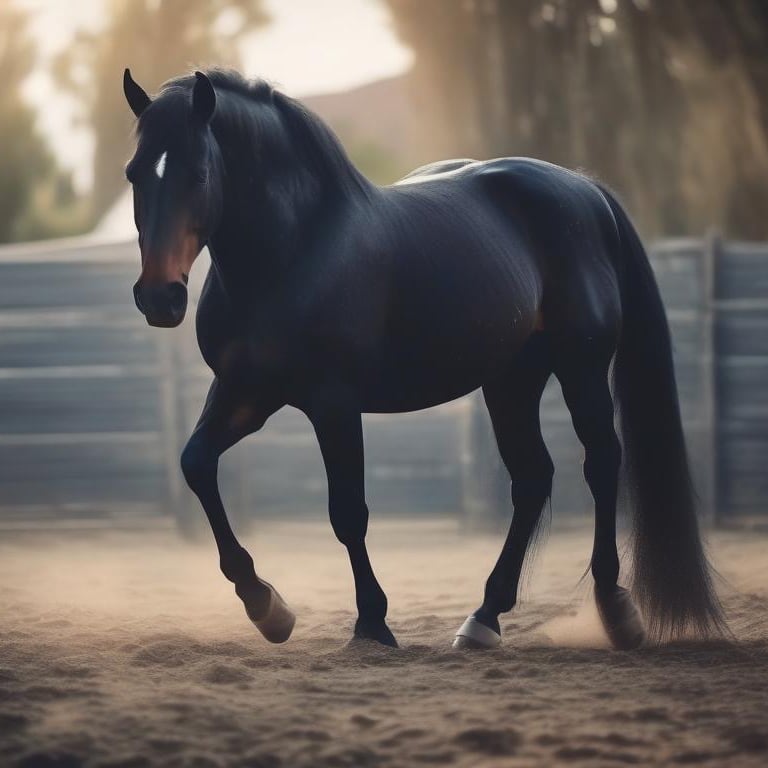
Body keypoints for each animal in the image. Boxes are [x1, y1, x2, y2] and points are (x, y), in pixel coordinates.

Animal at [122, 67, 723, 650]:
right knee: (532, 478)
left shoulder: (333, 403)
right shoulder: (245, 392)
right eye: (133, 174)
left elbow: (348, 512)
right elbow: (196, 464)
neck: (295, 250)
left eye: (199, 174)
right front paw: (266, 606)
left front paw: (371, 622)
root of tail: (586, 190)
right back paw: (484, 618)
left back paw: (615, 608)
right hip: (511, 380)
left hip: (581, 367)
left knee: (600, 462)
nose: (159, 297)